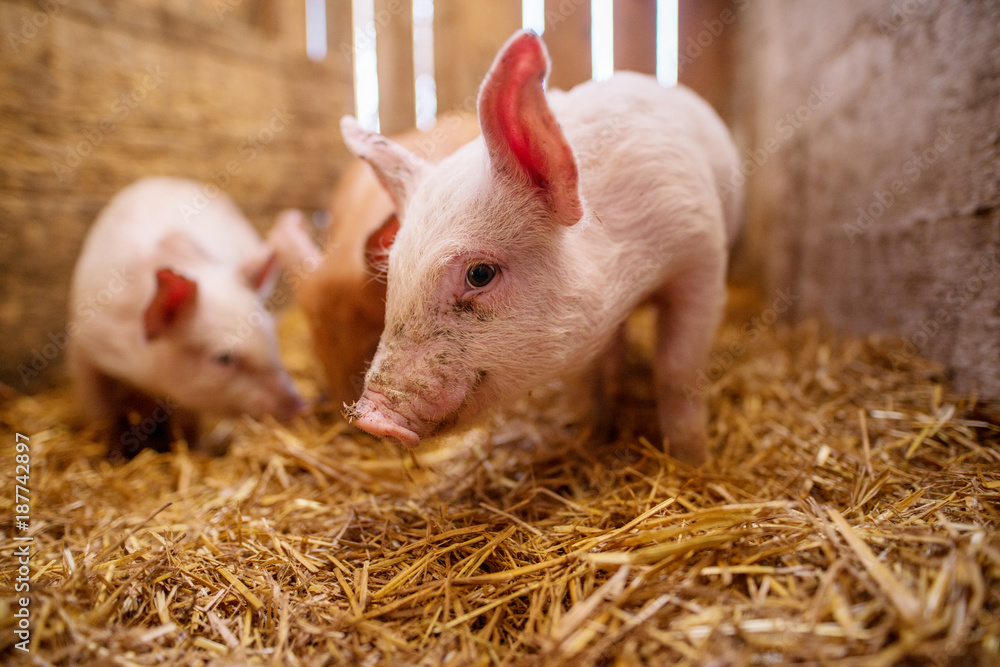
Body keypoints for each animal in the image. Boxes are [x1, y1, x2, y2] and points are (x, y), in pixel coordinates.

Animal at [67, 176, 305, 459]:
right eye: (223, 358)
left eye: (271, 336)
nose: (300, 404)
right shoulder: (84, 344)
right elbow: (98, 407)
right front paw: (112, 450)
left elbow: (187, 421)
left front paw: (191, 449)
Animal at [339, 31, 742, 466]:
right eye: (394, 272)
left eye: (480, 273)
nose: (370, 417)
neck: (633, 273)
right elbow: (587, 375)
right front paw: (592, 434)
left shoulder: (702, 255)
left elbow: (676, 371)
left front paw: (692, 460)